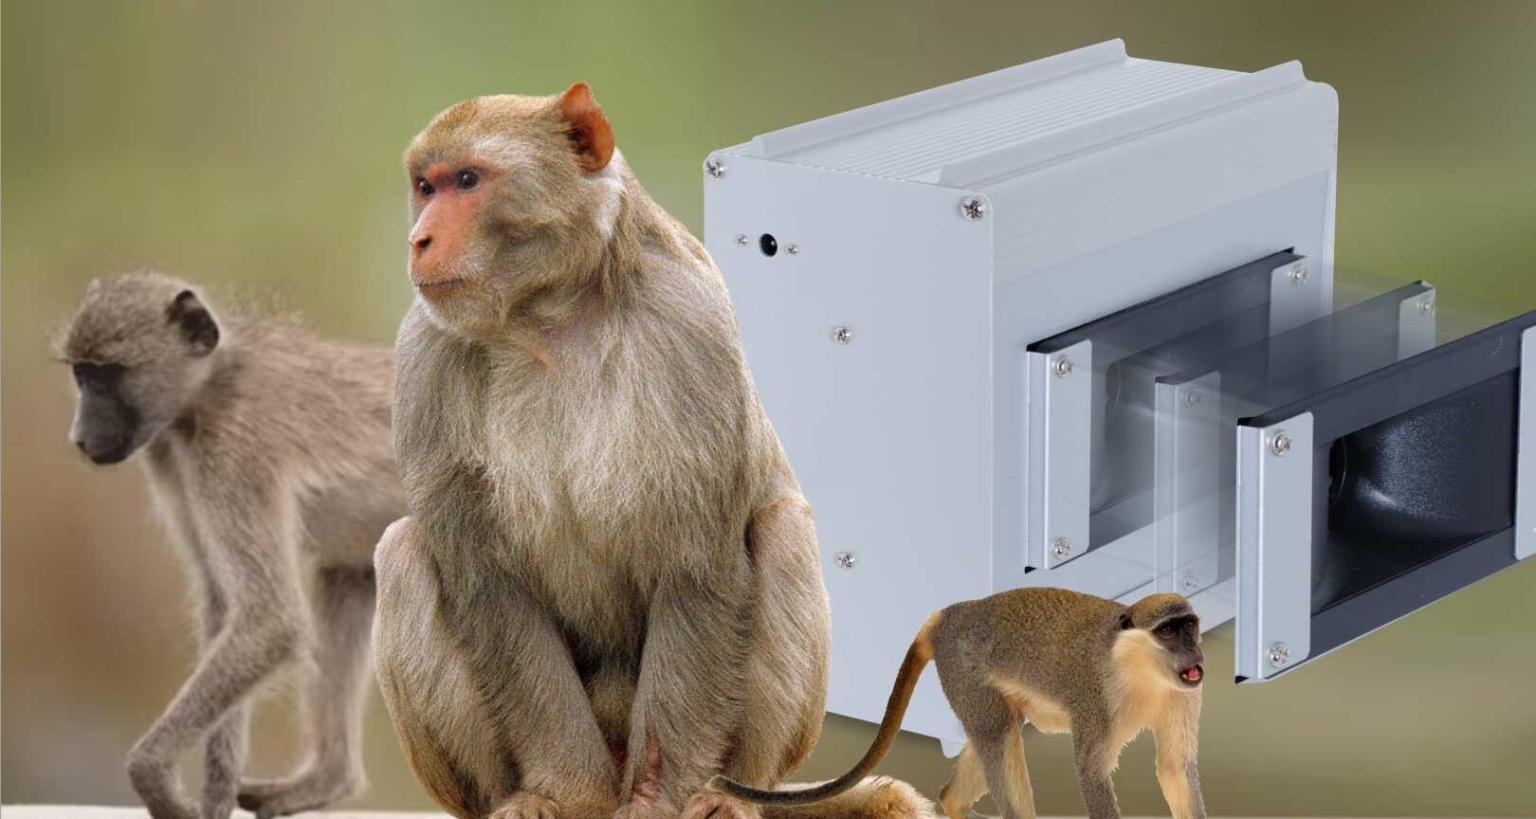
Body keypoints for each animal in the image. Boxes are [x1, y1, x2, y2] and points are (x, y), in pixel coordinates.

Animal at [56, 273, 405, 819]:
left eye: (109, 374)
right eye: (81, 374)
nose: (80, 437)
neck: (208, 390)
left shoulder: (234, 450)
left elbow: (269, 621)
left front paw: (153, 776)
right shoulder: (169, 454)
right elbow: (228, 609)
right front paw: (215, 797)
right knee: (348, 579)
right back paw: (326, 780)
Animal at [370, 82, 933, 819]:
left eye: (467, 180)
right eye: (424, 186)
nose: (420, 238)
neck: (549, 318)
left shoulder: (689, 327)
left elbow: (695, 568)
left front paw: (655, 799)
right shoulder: (425, 357)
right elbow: (489, 583)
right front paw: (563, 792)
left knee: (780, 530)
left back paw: (731, 796)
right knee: (404, 552)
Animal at [709, 588, 1207, 819]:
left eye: (1190, 626)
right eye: (1168, 631)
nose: (1194, 654)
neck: (1141, 669)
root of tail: (950, 614)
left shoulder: (1186, 695)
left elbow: (1174, 768)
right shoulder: (1095, 695)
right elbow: (1091, 770)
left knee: (997, 733)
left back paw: (952, 801)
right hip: (963, 668)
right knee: (998, 733)